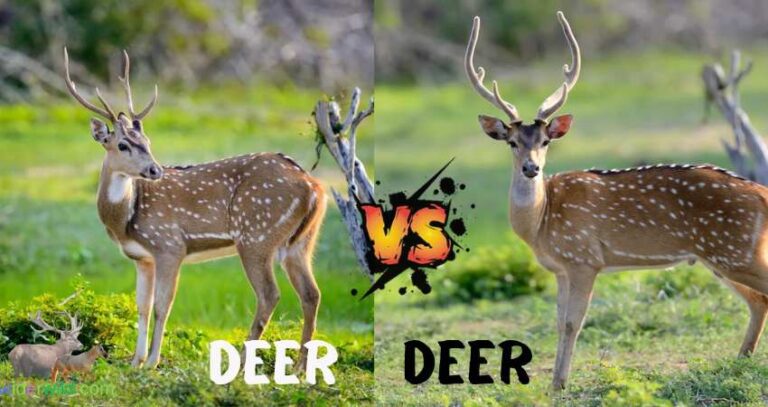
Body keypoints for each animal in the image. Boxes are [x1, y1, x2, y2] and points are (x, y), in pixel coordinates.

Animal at [63, 48, 327, 371]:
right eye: (123, 145)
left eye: (147, 141)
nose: (155, 170)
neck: (126, 219)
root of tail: (314, 187)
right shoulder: (142, 258)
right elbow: (142, 307)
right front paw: (136, 360)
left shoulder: (170, 245)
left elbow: (162, 306)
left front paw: (152, 362)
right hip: (300, 242)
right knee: (311, 293)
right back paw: (301, 367)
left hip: (256, 236)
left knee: (269, 294)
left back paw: (241, 363)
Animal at [465, 11, 768, 389]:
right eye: (511, 142)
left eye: (546, 141)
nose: (531, 168)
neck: (541, 224)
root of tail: (762, 193)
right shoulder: (560, 268)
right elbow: (559, 322)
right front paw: (555, 383)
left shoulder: (584, 258)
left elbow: (573, 323)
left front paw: (560, 384)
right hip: (721, 256)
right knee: (759, 301)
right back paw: (740, 361)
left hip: (733, 250)